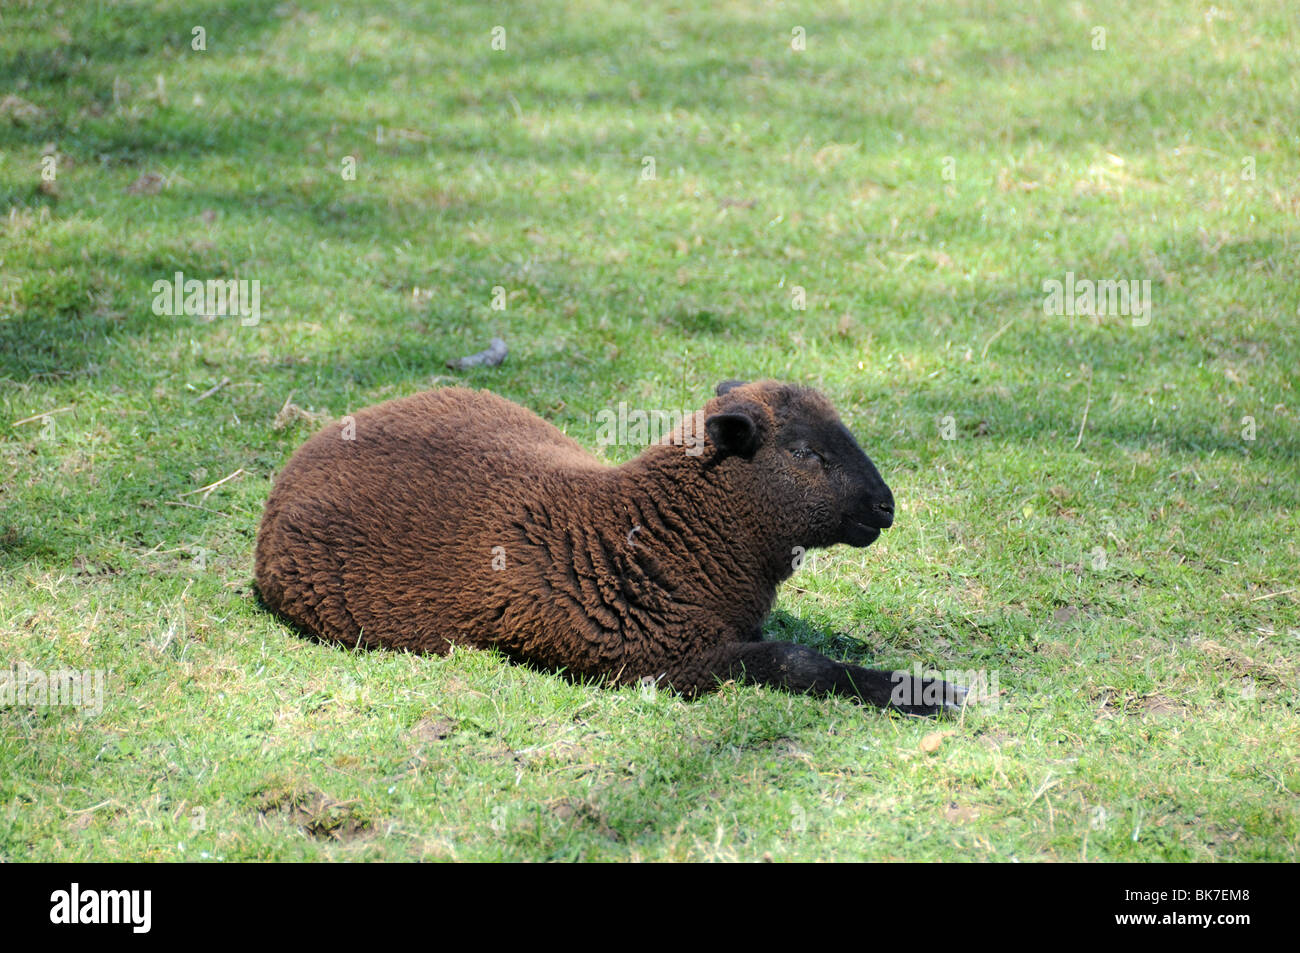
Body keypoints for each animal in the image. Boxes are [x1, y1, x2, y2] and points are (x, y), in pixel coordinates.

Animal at [254, 379, 964, 716]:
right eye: (804, 453)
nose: (886, 507)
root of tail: (312, 445)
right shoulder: (665, 665)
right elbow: (795, 660)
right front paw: (922, 693)